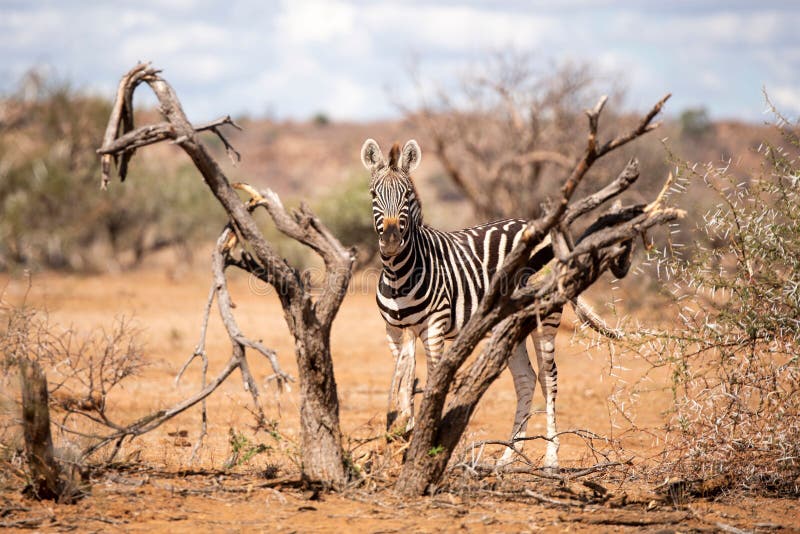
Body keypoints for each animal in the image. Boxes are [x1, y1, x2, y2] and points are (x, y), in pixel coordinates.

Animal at [361, 138, 624, 469]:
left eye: (407, 196)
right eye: (374, 194)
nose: (392, 240)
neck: (399, 274)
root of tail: (539, 227)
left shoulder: (435, 326)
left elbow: (432, 382)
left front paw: (421, 442)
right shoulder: (394, 331)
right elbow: (404, 386)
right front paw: (402, 443)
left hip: (546, 314)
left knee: (548, 378)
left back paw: (551, 457)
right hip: (510, 323)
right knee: (526, 379)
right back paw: (508, 456)